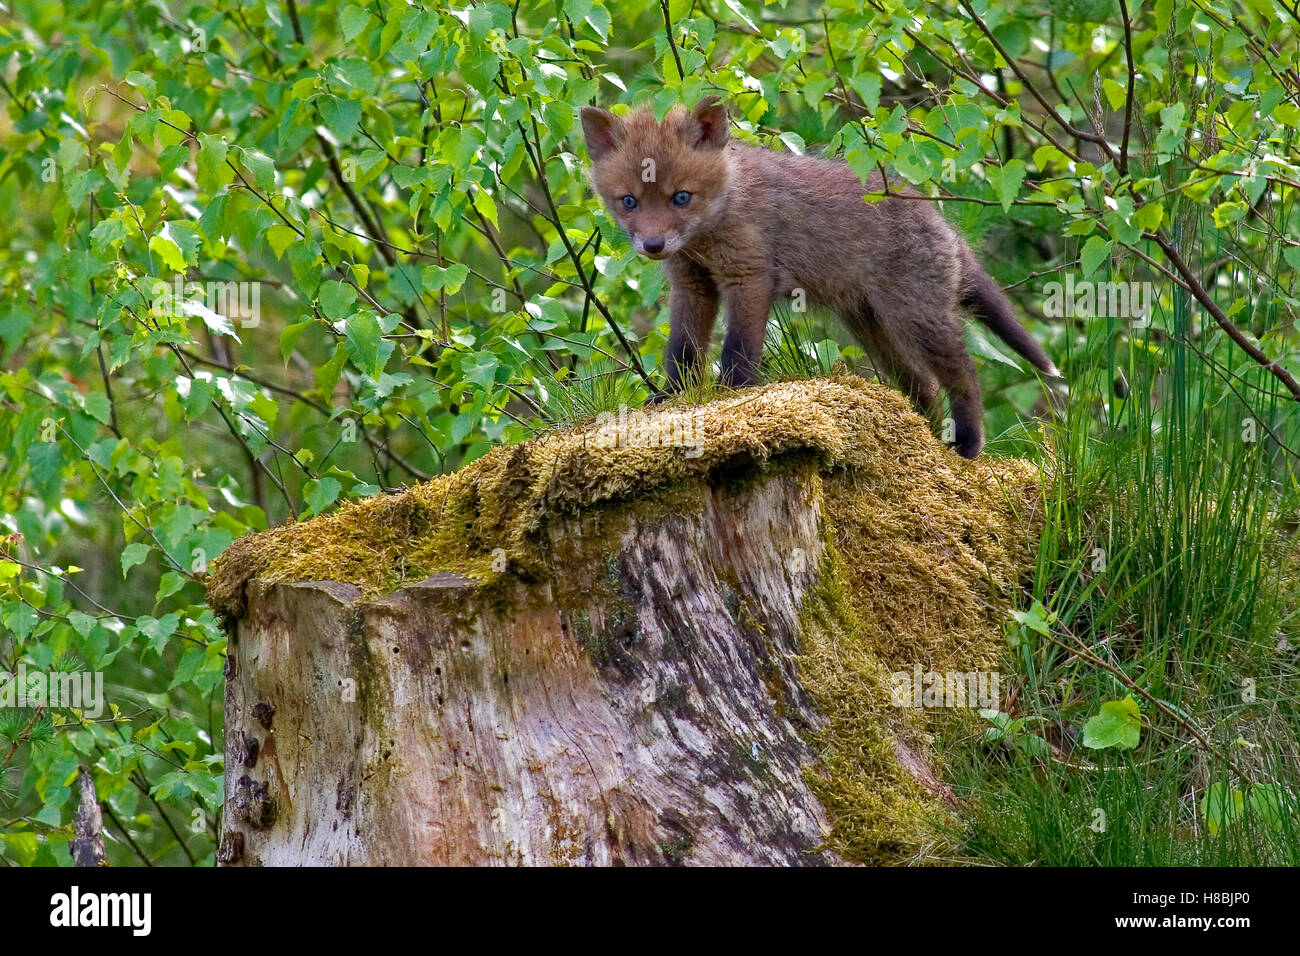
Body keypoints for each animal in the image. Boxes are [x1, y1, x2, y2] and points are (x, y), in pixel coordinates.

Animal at [579, 96, 1061, 459]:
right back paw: (918, 439)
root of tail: (943, 223)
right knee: (922, 385)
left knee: (964, 374)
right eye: (628, 201)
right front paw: (670, 399)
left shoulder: (748, 275)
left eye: (681, 197)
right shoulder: (692, 283)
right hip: (870, 325)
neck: (715, 224)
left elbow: (737, 349)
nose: (653, 245)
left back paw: (967, 444)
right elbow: (681, 350)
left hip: (915, 317)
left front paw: (731, 397)